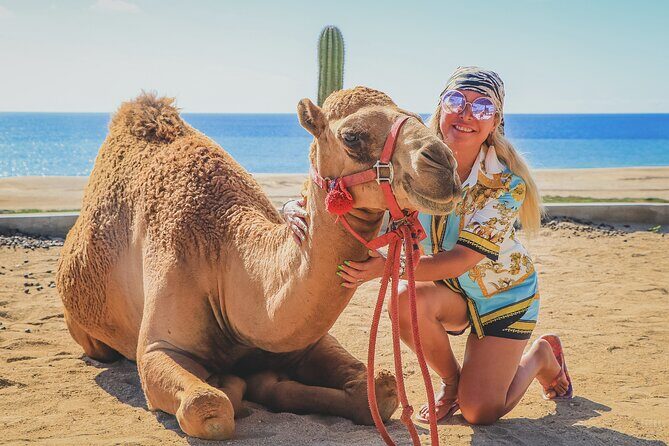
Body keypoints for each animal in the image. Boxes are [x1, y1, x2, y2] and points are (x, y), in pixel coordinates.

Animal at [56, 87, 461, 440]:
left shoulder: (306, 341)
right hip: (84, 329)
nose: (444, 162)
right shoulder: (158, 349)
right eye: (352, 136)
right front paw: (231, 384)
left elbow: (378, 389)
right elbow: (209, 404)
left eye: (415, 116)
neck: (224, 257)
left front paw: (264, 382)